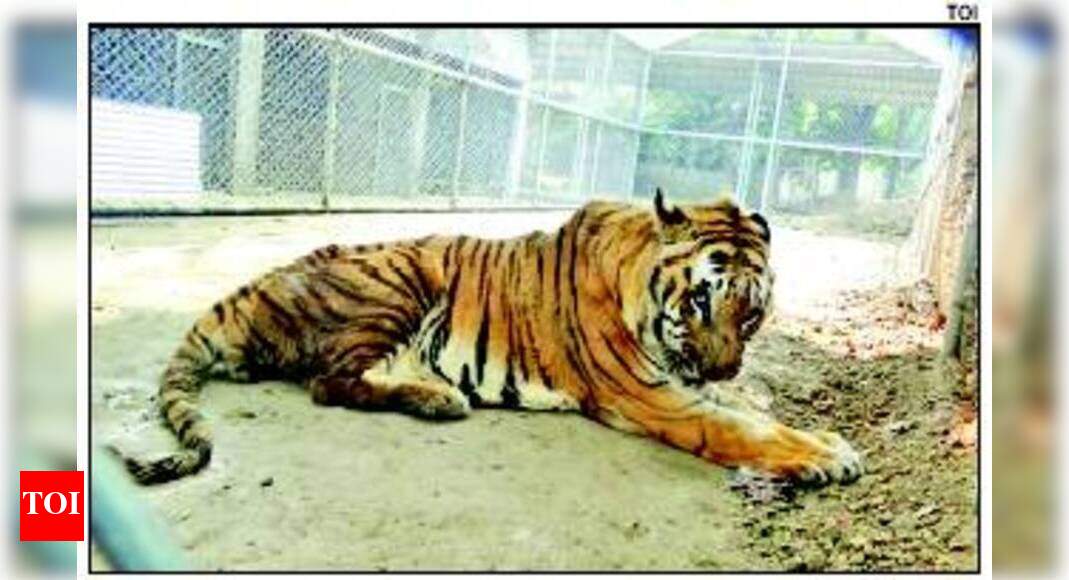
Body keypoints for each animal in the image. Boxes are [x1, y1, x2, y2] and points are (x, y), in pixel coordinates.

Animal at [117, 189, 862, 486]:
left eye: (751, 314)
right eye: (701, 299)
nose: (723, 369)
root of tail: (253, 286)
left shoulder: (682, 383)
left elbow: (751, 414)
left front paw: (821, 437)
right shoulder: (658, 398)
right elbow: (741, 430)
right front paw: (827, 457)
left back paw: (435, 392)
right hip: (400, 274)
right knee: (329, 383)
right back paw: (440, 401)